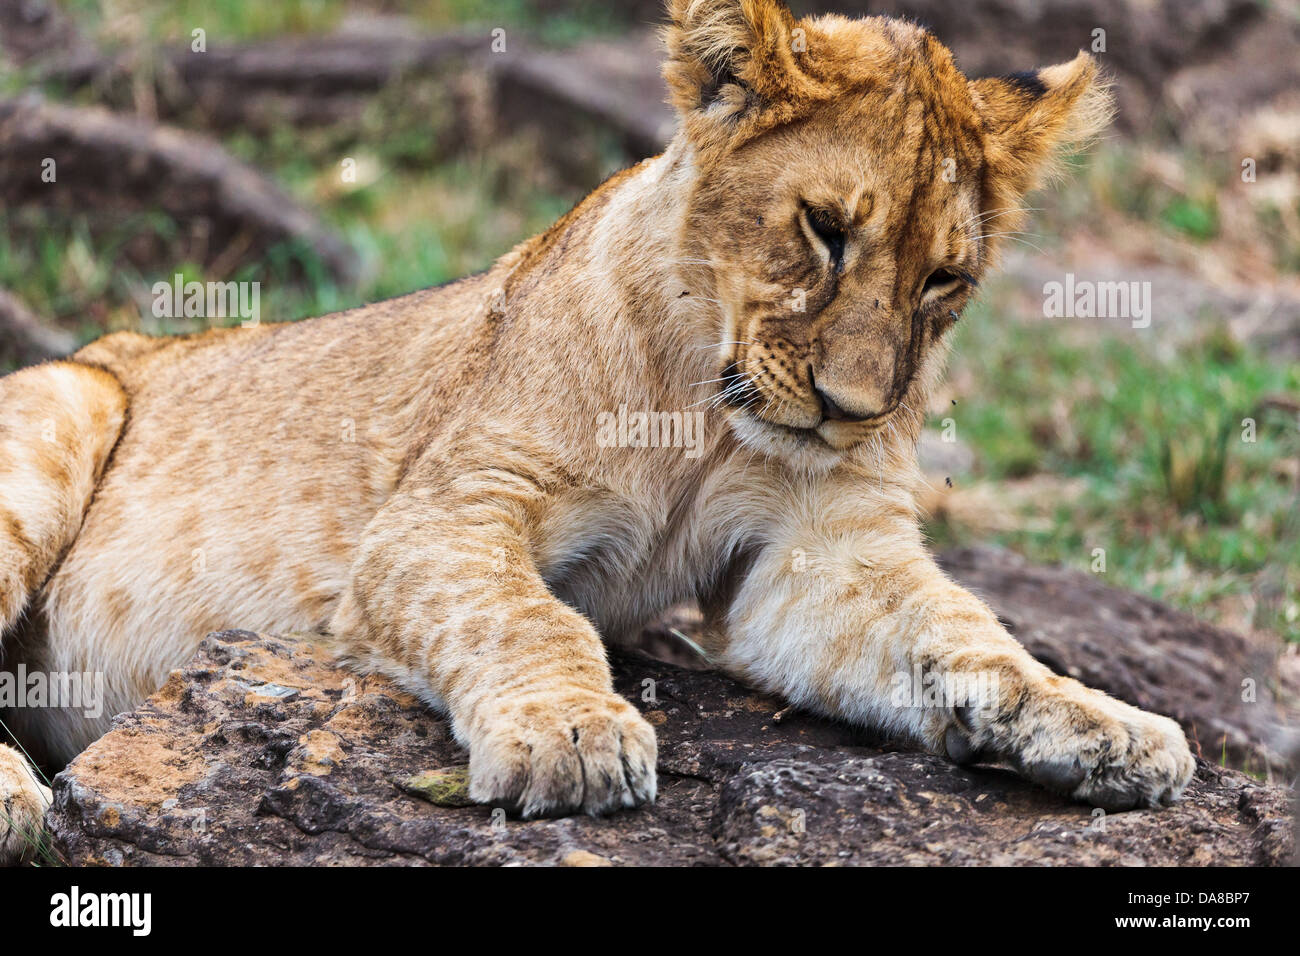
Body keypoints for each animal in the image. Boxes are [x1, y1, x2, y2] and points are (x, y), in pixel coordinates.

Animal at [0, 0, 1193, 863]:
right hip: (65, 410)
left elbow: (966, 630)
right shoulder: (447, 509)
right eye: (824, 230)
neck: (704, 410)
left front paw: (1099, 722)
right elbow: (526, 617)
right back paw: (18, 800)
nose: (855, 410)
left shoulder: (821, 554)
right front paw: (572, 736)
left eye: (945, 279)